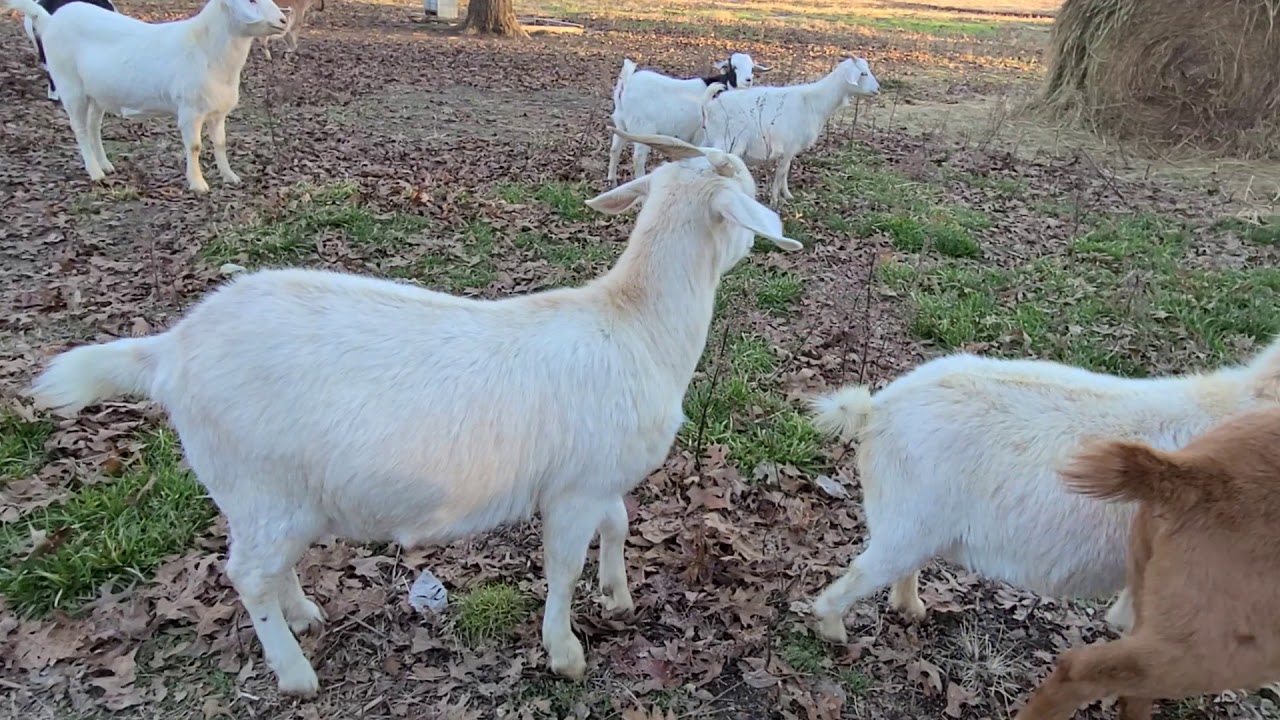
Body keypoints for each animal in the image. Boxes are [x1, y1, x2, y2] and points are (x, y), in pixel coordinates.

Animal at [3, 0, 288, 193]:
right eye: (251, 1)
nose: (284, 21)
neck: (206, 50)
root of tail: (49, 20)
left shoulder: (217, 111)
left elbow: (220, 143)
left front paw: (230, 176)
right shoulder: (190, 110)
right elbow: (195, 146)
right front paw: (198, 183)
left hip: (97, 93)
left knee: (93, 126)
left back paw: (105, 164)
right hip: (70, 85)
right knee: (80, 128)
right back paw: (95, 172)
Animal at [28, 128, 802, 696]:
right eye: (746, 190)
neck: (634, 322)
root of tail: (169, 349)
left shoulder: (595, 476)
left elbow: (620, 523)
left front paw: (617, 596)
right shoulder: (573, 489)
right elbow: (561, 570)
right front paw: (566, 652)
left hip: (274, 497)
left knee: (268, 567)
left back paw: (306, 616)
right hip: (259, 484)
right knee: (246, 575)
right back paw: (295, 673)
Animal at [606, 52, 771, 185]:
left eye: (752, 68)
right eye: (733, 67)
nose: (748, 80)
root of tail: (626, 83)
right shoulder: (702, 135)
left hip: (621, 123)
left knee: (615, 149)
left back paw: (611, 180)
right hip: (642, 127)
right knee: (638, 158)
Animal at [698, 57, 880, 206]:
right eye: (863, 73)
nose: (878, 89)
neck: (813, 101)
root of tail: (709, 104)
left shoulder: (792, 148)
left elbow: (785, 172)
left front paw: (787, 195)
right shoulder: (789, 146)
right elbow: (781, 172)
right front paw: (775, 201)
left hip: (710, 140)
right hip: (726, 142)